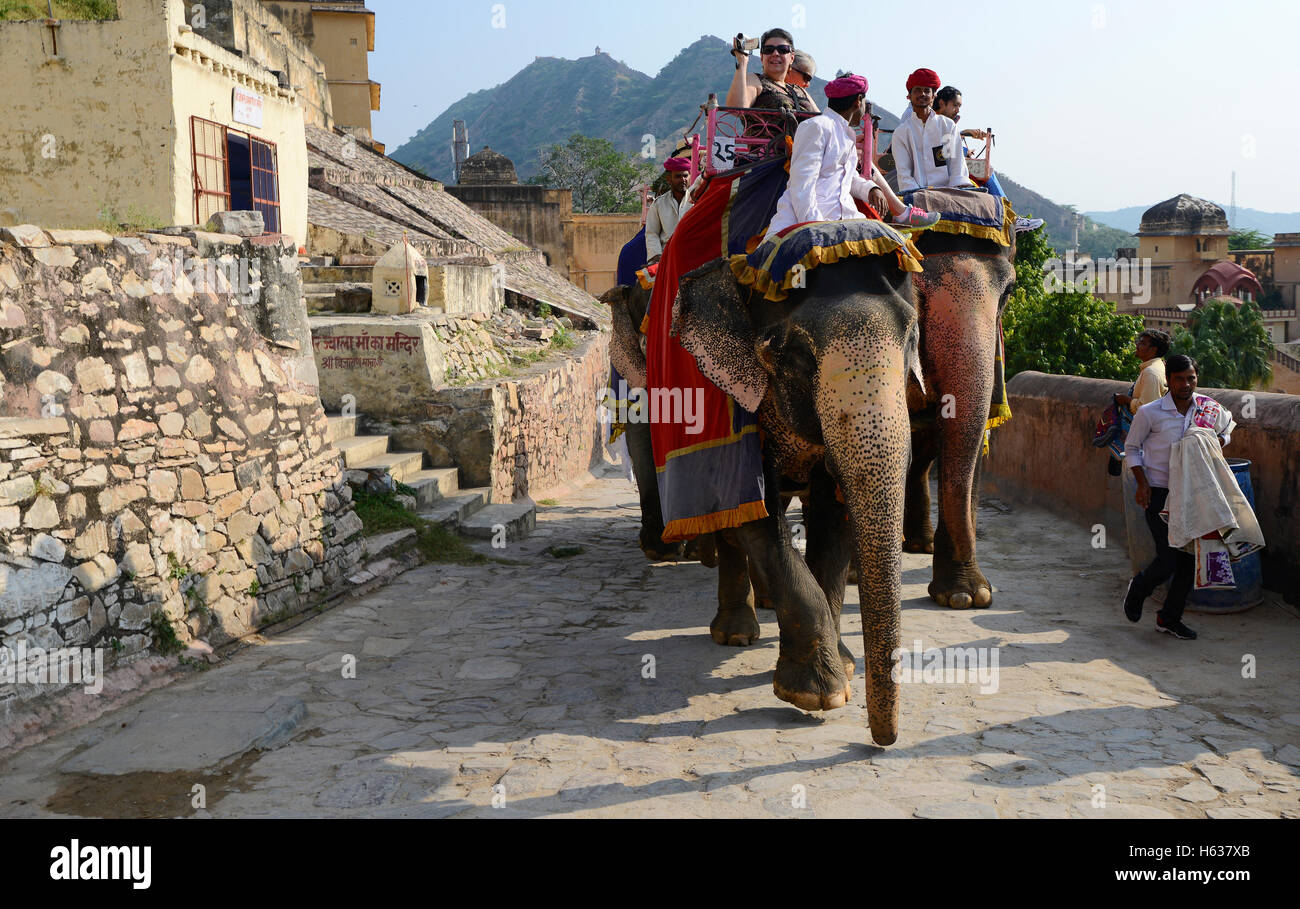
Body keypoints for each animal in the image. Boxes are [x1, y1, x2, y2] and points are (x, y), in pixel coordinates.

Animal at [674, 252, 921, 746]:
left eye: (912, 339)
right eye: (795, 355)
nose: (883, 741)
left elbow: (834, 515)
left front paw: (844, 667)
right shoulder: (730, 400)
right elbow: (753, 507)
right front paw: (819, 693)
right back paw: (736, 634)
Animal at [901, 230, 1018, 610]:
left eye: (1008, 292)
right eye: (913, 287)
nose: (992, 590)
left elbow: (975, 437)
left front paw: (967, 596)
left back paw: (921, 544)